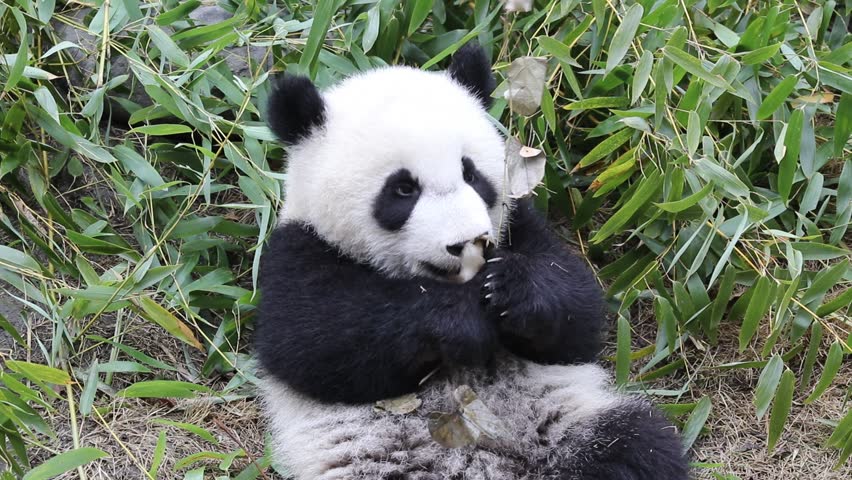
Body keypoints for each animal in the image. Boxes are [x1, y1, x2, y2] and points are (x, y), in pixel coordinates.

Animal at [255, 43, 689, 480]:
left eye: (471, 173)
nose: (467, 241)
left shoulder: (518, 224)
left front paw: (513, 289)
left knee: (636, 446)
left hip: (573, 427)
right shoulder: (299, 248)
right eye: (403, 189)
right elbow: (317, 340)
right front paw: (458, 320)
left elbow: (577, 316)